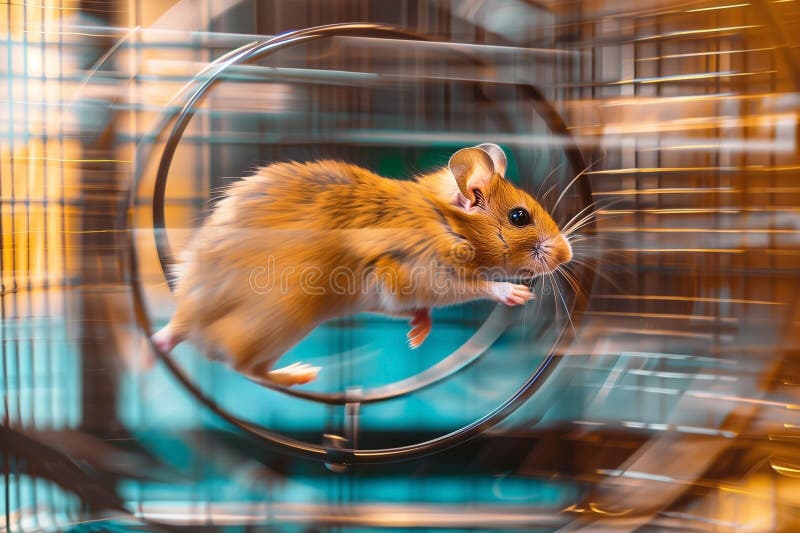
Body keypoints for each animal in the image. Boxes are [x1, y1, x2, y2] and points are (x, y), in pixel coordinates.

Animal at [151, 144, 573, 387]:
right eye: (519, 217)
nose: (568, 255)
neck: (444, 220)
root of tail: (181, 321)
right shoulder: (421, 270)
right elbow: (474, 286)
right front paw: (515, 294)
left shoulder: (388, 297)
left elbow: (416, 309)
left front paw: (417, 336)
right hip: (281, 321)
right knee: (245, 369)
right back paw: (301, 373)